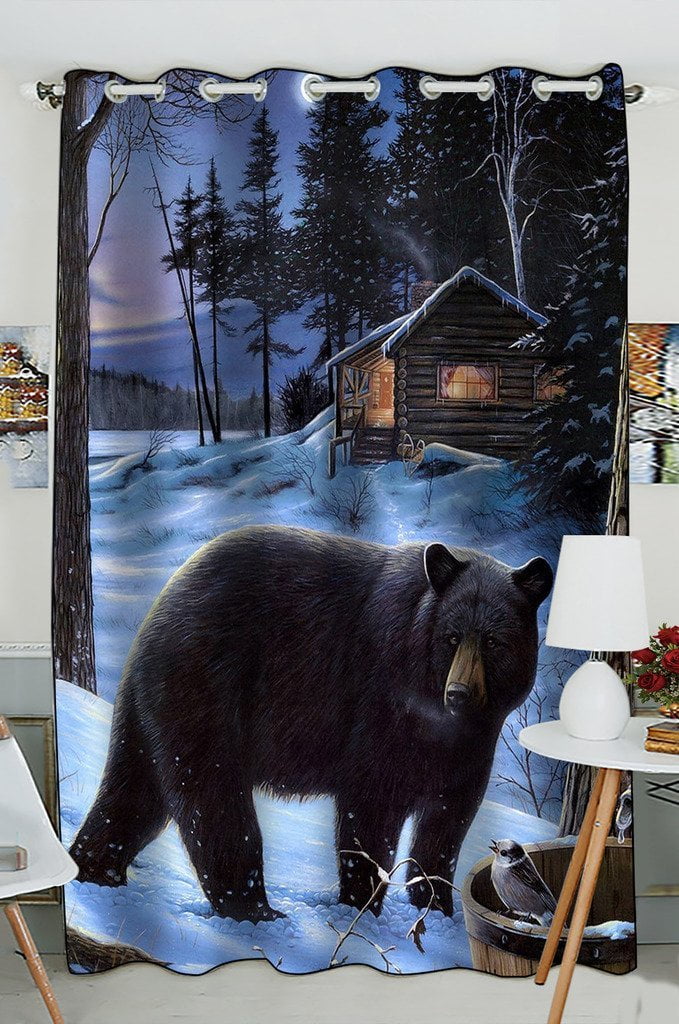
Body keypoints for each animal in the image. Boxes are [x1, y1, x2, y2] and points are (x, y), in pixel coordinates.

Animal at [70, 524, 553, 922]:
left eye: (493, 641)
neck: (437, 717)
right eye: (452, 637)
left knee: (133, 791)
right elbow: (370, 809)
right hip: (206, 688)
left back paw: (95, 870)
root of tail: (162, 602)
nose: (459, 693)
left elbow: (447, 825)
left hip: (152, 707)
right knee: (214, 801)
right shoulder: (382, 707)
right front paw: (362, 906)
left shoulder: (471, 748)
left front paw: (437, 909)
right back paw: (256, 911)